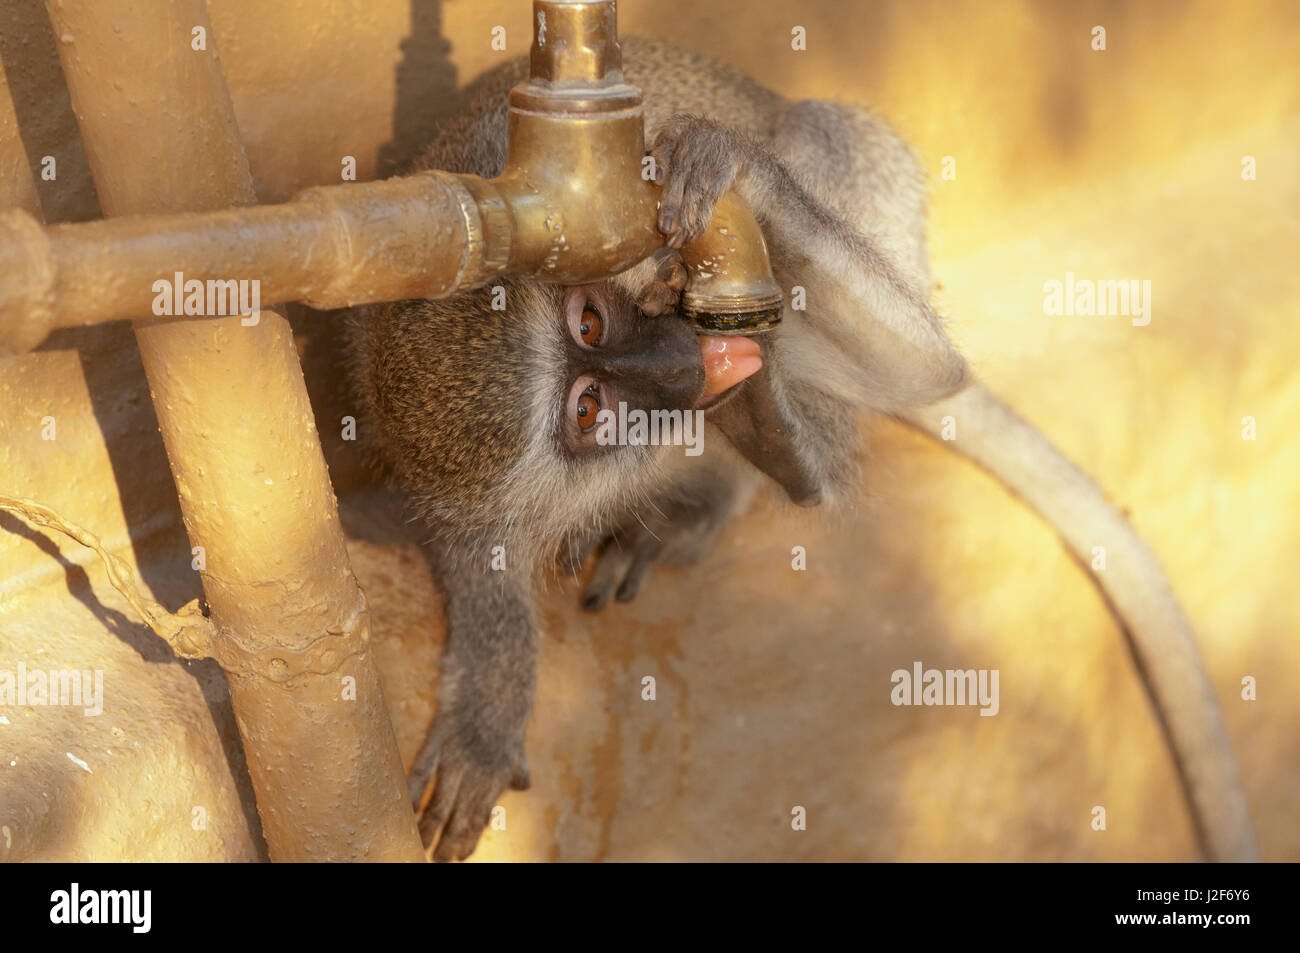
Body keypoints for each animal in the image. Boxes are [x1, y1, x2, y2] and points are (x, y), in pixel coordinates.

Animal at [344, 37, 1256, 862]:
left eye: (590, 322)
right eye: (589, 406)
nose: (672, 366)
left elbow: (931, 371)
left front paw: (733, 163)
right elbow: (471, 539)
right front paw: (493, 690)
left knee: (828, 148)